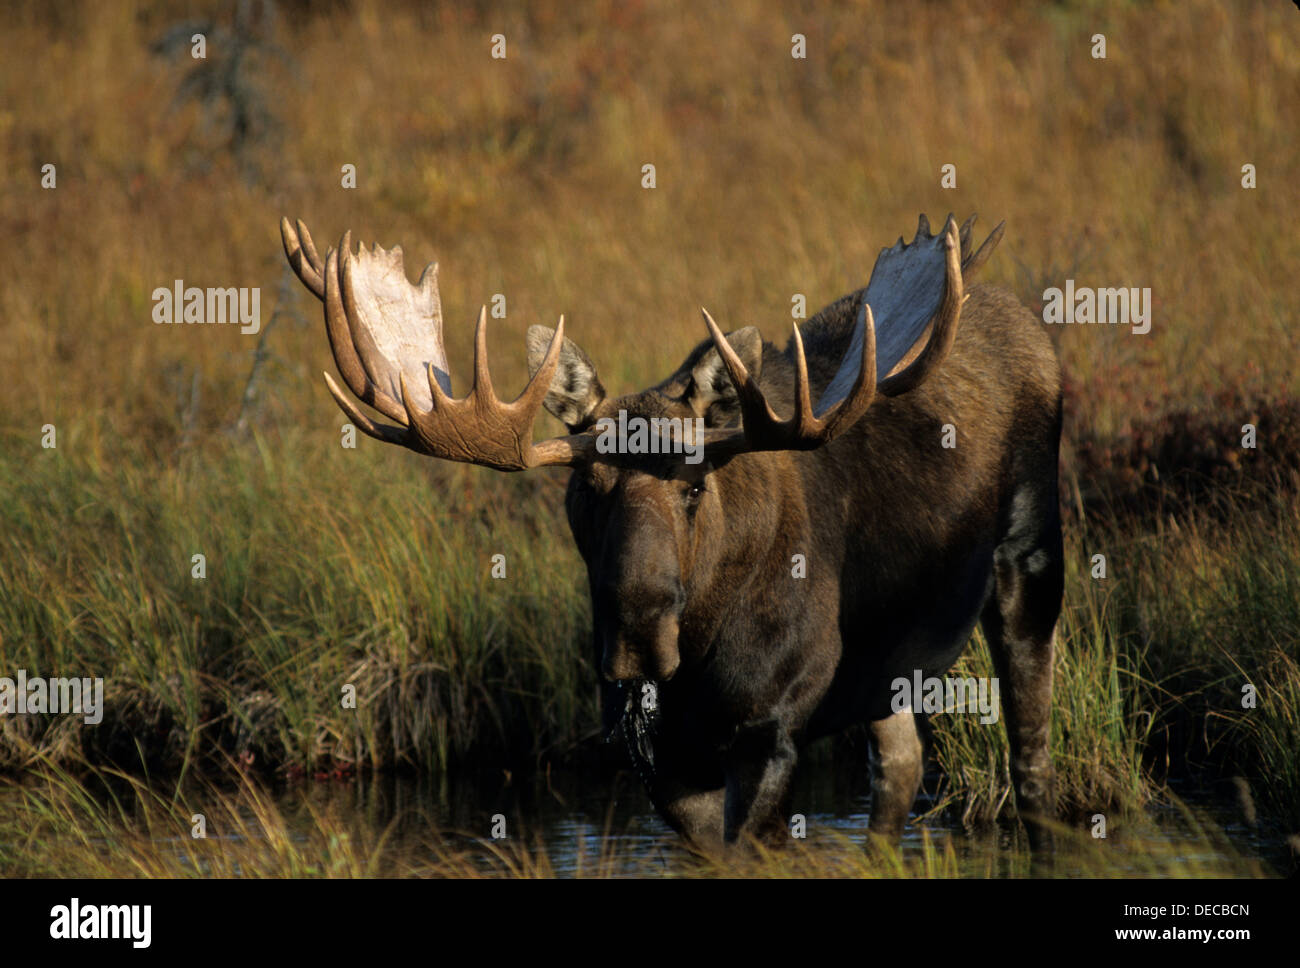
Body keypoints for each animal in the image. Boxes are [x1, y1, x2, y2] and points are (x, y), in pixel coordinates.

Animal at [280, 212, 1064, 852]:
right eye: (585, 487)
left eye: (693, 485)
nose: (638, 634)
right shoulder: (662, 757)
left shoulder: (772, 728)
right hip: (887, 666)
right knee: (900, 768)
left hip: (1030, 558)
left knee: (1030, 761)